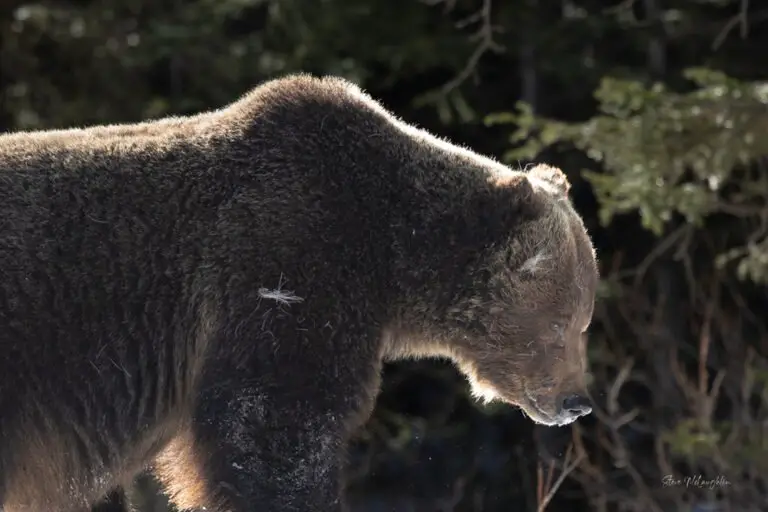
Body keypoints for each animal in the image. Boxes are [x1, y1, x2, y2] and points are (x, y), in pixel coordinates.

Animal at [0, 73, 598, 512]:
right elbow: (274, 425)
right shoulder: (286, 268)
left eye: (583, 321)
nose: (578, 402)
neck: (393, 258)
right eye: (562, 323)